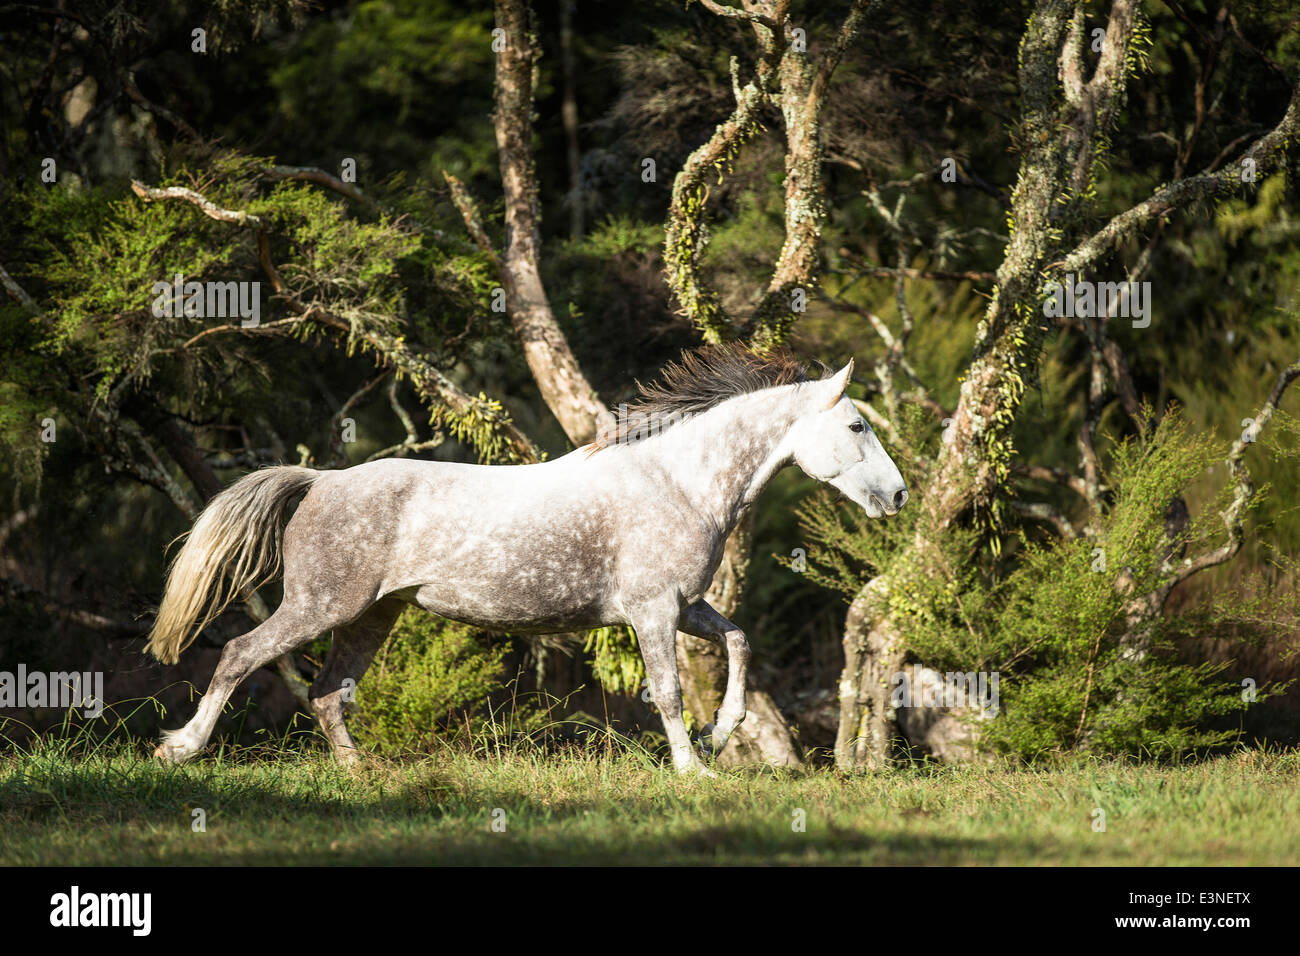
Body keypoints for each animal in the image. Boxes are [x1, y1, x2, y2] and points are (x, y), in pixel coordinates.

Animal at [146, 344, 908, 775]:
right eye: (856, 425)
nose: (899, 495)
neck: (679, 481)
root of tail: (319, 481)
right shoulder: (653, 612)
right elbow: (666, 691)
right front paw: (695, 769)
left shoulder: (683, 608)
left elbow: (740, 642)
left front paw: (718, 736)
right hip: (319, 605)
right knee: (241, 655)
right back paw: (179, 749)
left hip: (370, 617)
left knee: (329, 693)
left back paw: (360, 773)